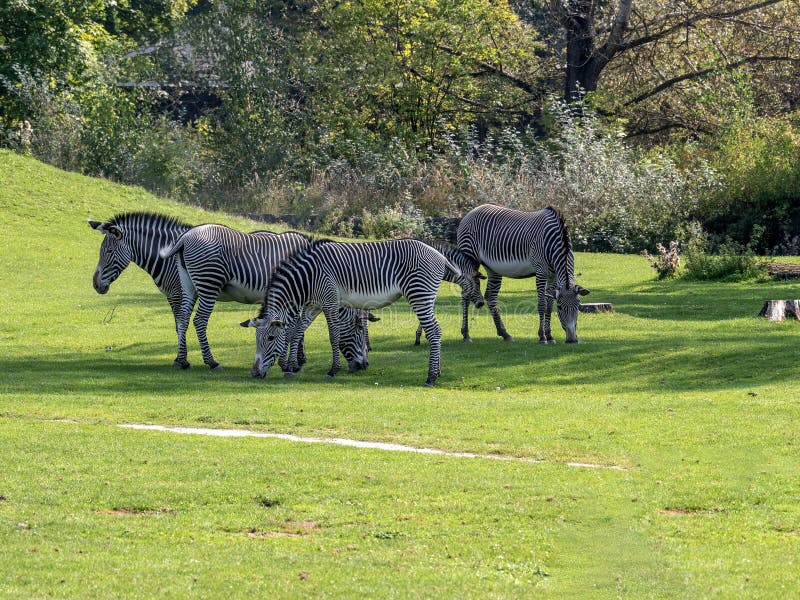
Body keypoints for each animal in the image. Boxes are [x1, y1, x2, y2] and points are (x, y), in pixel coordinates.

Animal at [89, 212, 192, 366]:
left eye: (109, 251)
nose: (95, 284)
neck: (167, 257)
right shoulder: (171, 295)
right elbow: (177, 326)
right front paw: (179, 358)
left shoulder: (178, 292)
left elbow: (181, 325)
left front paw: (182, 360)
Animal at [158, 225, 371, 371]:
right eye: (359, 328)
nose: (364, 365)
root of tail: (185, 237)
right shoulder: (292, 297)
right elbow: (291, 328)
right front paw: (288, 363)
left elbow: (296, 328)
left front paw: (296, 359)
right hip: (209, 283)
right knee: (199, 320)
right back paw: (211, 361)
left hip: (189, 284)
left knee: (183, 319)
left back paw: (182, 360)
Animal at [241, 238, 468, 387]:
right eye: (257, 340)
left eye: (270, 338)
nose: (254, 373)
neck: (308, 276)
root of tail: (440, 255)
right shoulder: (313, 305)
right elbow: (296, 332)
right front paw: (291, 366)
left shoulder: (330, 301)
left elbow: (333, 336)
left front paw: (333, 370)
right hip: (426, 296)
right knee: (435, 331)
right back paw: (437, 373)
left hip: (419, 294)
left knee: (434, 332)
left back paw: (431, 377)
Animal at [456, 204, 590, 343]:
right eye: (560, 307)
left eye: (578, 306)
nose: (572, 339)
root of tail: (472, 211)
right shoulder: (541, 272)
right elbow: (542, 304)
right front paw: (542, 337)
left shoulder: (552, 276)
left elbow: (548, 304)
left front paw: (549, 336)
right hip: (470, 257)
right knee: (466, 294)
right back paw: (466, 334)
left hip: (492, 268)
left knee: (490, 296)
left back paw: (504, 333)